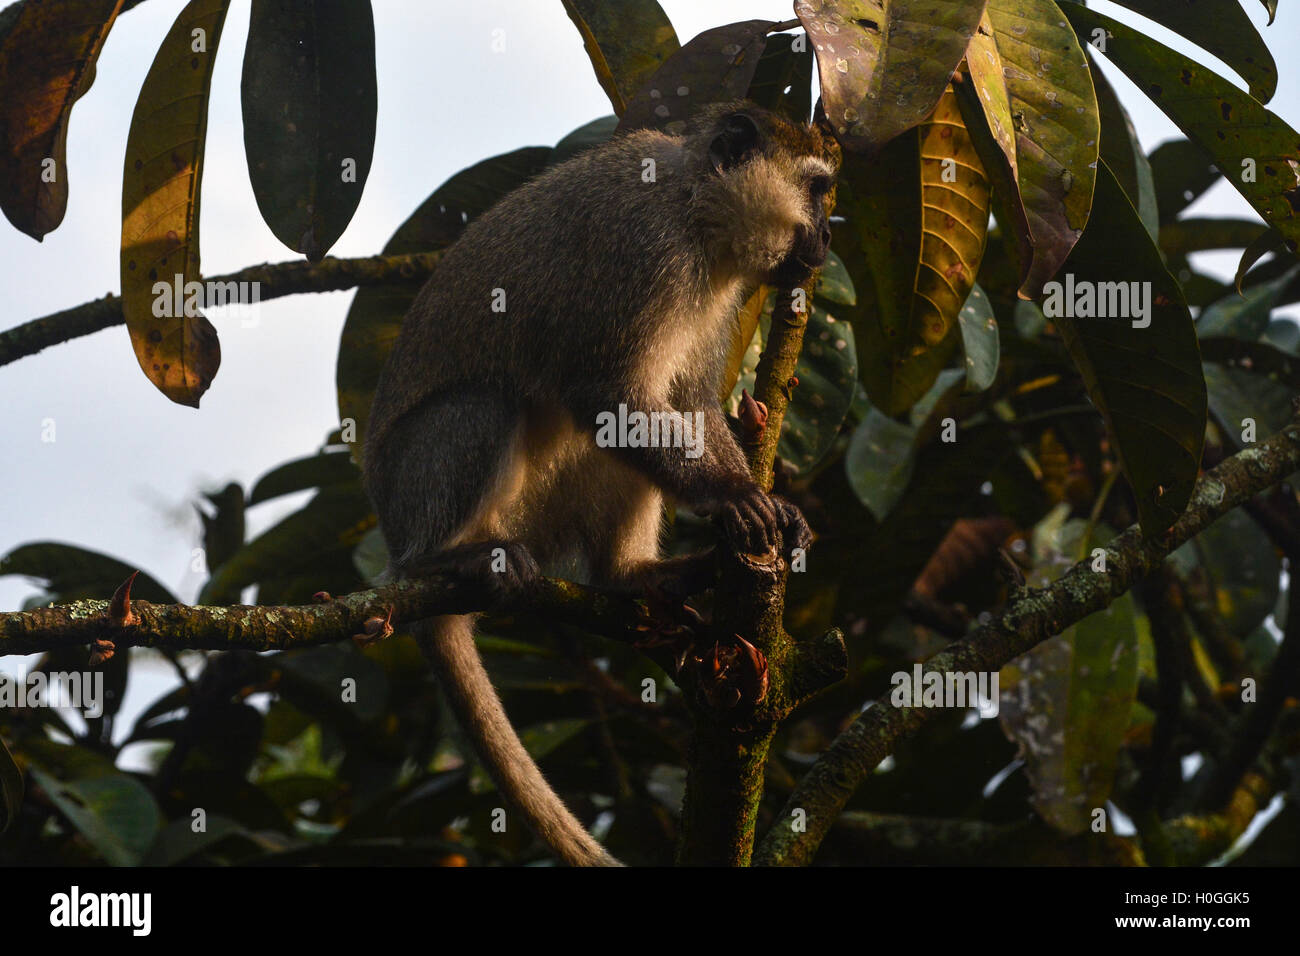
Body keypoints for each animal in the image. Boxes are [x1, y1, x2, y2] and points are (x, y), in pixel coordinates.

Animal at [362, 101, 837, 866]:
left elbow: (689, 403)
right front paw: (734, 500)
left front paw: (766, 510)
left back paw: (634, 575)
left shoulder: (724, 297)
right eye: (818, 191)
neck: (696, 208)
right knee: (484, 404)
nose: (826, 234)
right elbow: (603, 392)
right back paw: (446, 556)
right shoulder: (644, 250)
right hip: (417, 494)